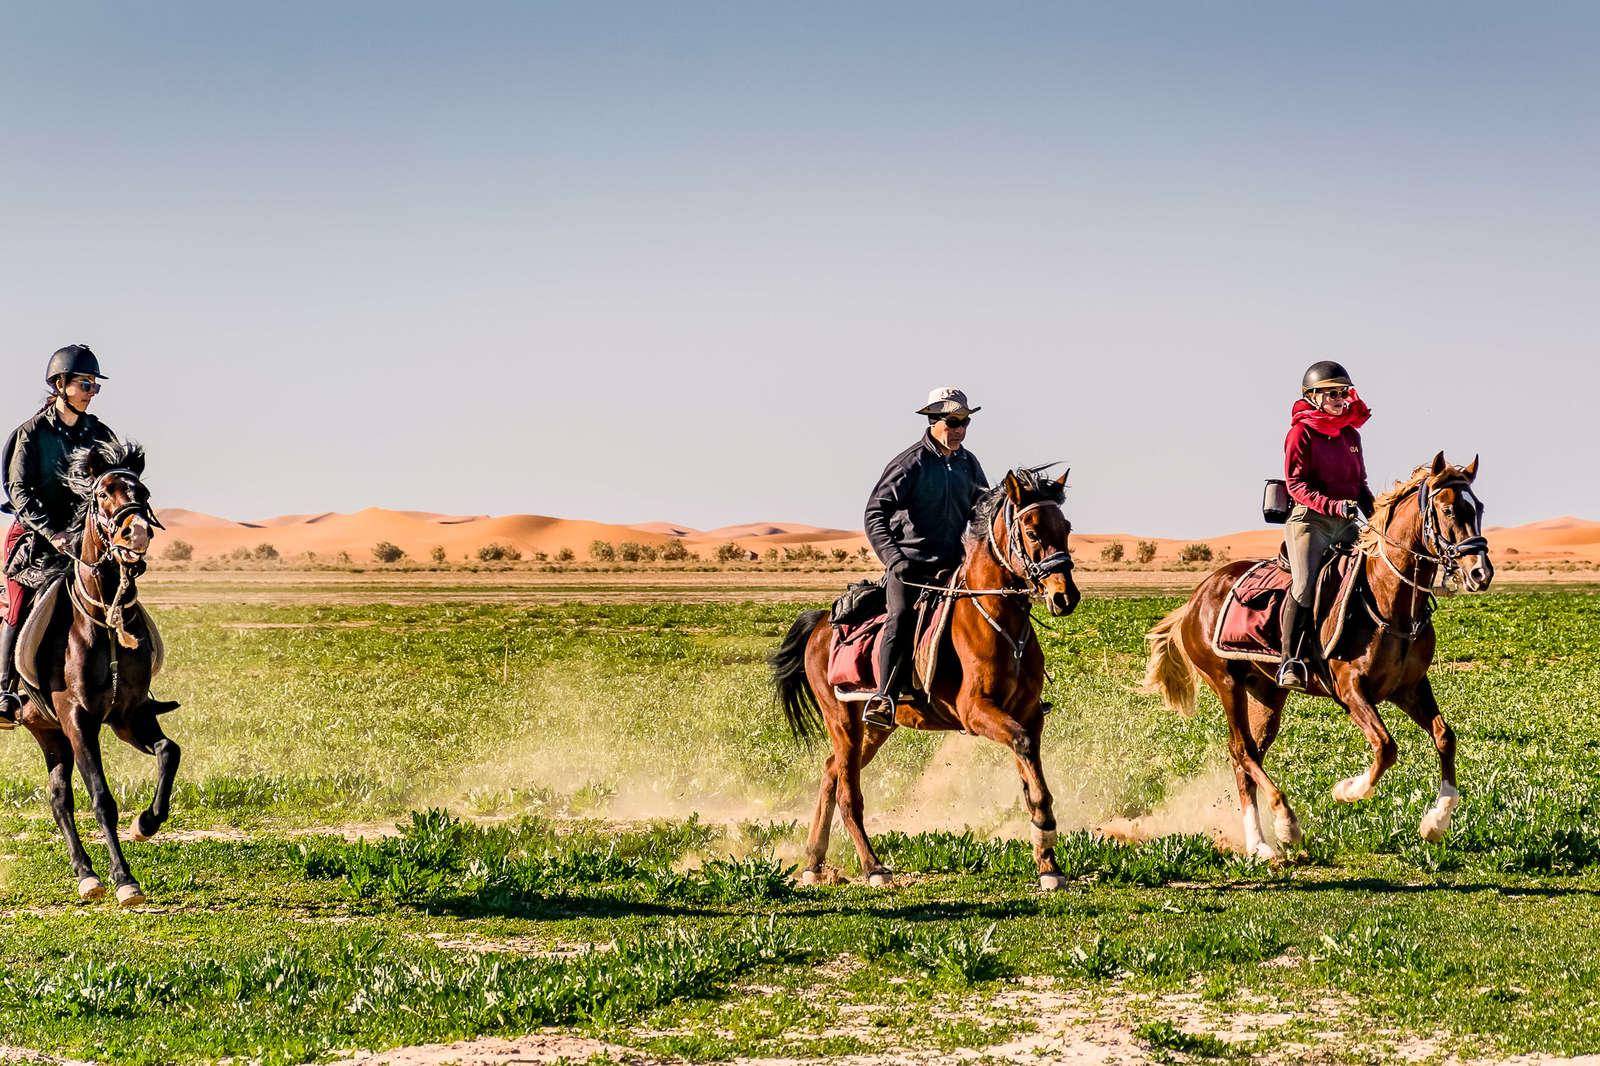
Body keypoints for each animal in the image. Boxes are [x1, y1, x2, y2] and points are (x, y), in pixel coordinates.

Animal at [13, 439, 177, 906]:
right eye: (103, 493)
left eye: (144, 491)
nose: (136, 533)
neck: (103, 619)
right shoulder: (78, 719)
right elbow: (102, 798)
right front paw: (125, 880)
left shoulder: (128, 716)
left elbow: (169, 751)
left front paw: (146, 823)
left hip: (47, 731)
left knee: (59, 799)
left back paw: (85, 874)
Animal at [771, 467, 1082, 890]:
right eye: (1032, 532)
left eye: (1065, 527)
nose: (1066, 596)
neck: (996, 618)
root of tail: (820, 622)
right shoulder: (976, 711)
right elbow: (1021, 749)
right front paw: (1046, 839)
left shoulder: (1030, 715)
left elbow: (1032, 776)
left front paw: (1048, 862)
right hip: (842, 721)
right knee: (849, 794)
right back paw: (873, 867)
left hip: (874, 727)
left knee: (831, 772)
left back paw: (813, 862)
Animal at [1140, 453, 1493, 860]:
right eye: (1448, 509)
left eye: (1478, 507)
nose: (1481, 572)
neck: (1386, 599)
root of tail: (1196, 598)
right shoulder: (1351, 690)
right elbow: (1386, 746)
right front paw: (1347, 790)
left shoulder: (1409, 687)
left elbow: (1444, 737)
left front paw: (1436, 821)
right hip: (1227, 683)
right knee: (1241, 750)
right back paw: (1282, 826)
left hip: (1267, 692)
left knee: (1249, 756)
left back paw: (1260, 841)